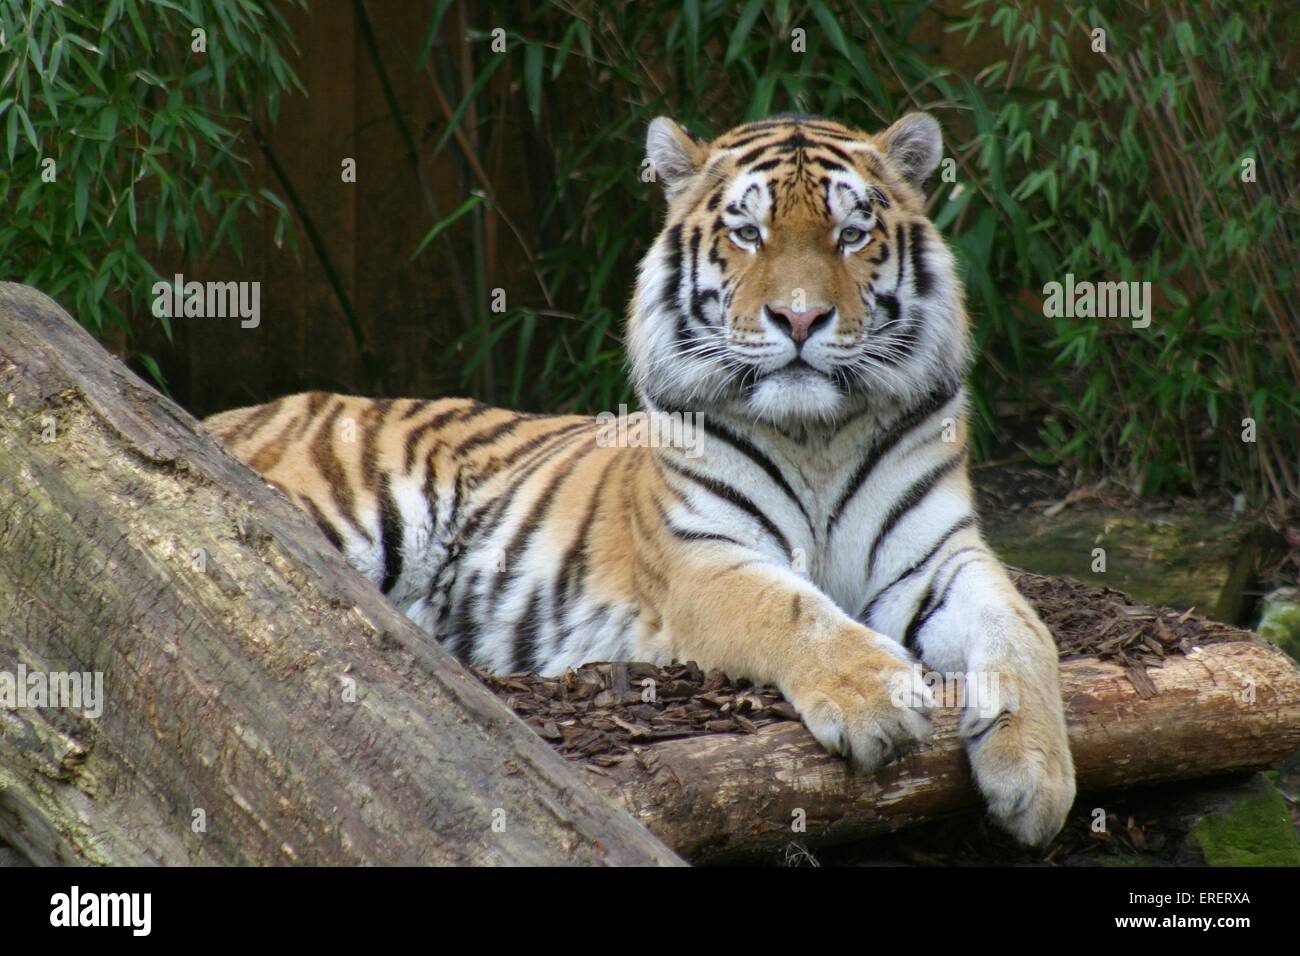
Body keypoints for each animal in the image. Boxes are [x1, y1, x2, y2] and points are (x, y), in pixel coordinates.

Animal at [205, 111, 1076, 846]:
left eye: (852, 233)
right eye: (748, 233)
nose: (799, 319)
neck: (816, 434)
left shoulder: (939, 559)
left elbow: (1024, 630)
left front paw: (1038, 775)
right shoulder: (704, 559)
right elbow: (796, 611)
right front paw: (880, 701)